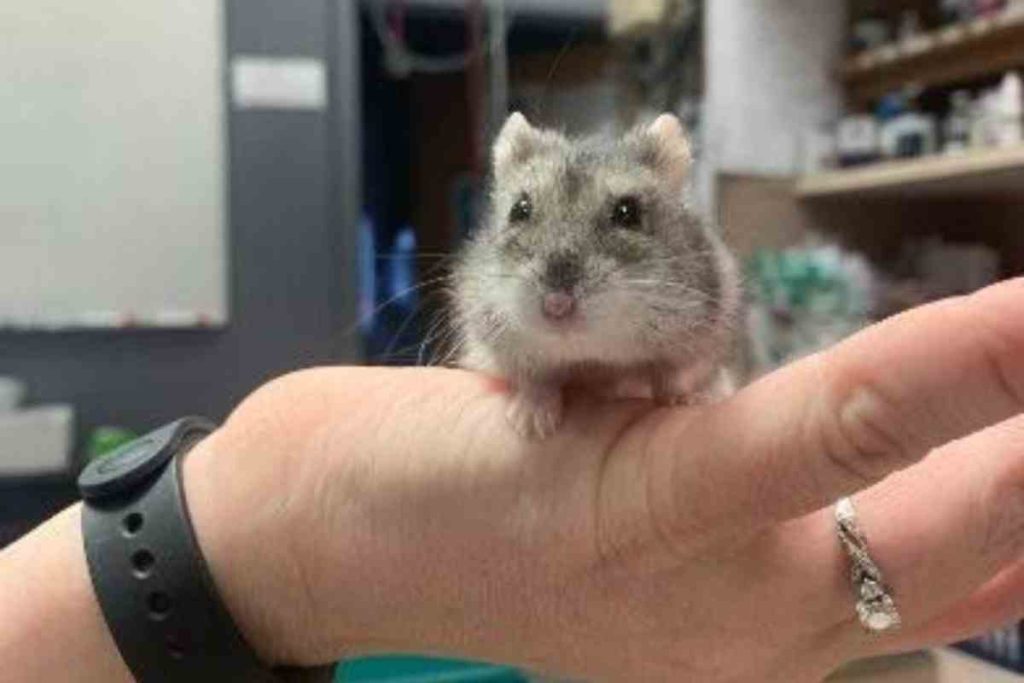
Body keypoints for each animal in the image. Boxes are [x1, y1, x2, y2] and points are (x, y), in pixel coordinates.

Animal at [452, 112, 741, 439]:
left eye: (628, 212)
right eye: (519, 210)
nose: (556, 306)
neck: (590, 356)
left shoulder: (700, 337)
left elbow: (674, 374)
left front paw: (686, 401)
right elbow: (535, 380)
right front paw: (531, 423)